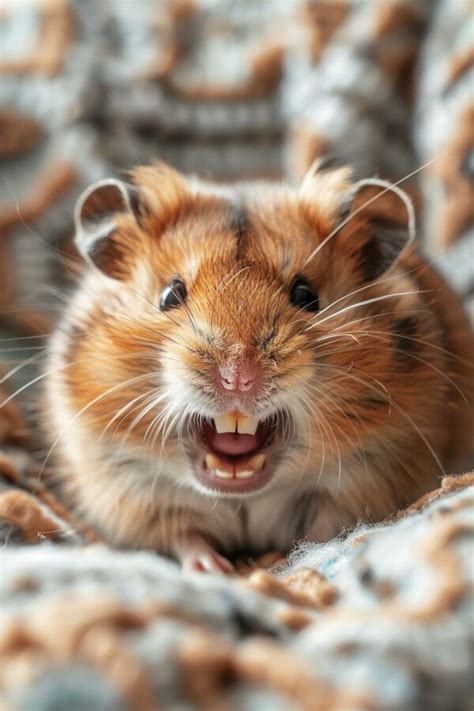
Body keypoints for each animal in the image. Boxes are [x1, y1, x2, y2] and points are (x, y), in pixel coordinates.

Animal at [45, 161, 474, 573]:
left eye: (307, 296)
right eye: (170, 296)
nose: (238, 376)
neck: (242, 495)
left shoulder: (370, 471)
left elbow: (325, 526)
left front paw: (284, 560)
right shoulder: (127, 489)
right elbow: (185, 536)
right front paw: (213, 568)